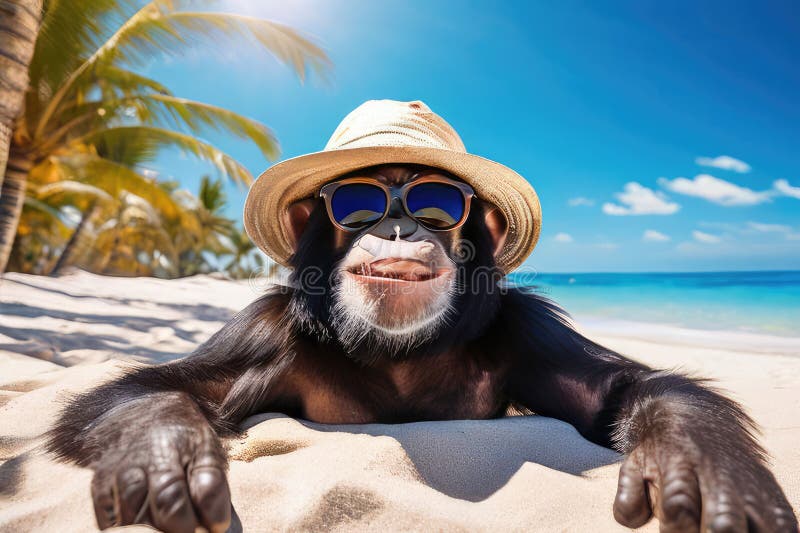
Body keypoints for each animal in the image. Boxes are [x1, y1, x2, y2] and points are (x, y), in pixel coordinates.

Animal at [46, 165, 797, 533]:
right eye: (357, 203)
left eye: (440, 204)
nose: (403, 225)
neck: (397, 352)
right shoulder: (265, 332)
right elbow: (163, 388)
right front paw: (161, 451)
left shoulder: (527, 329)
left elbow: (618, 391)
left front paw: (702, 464)